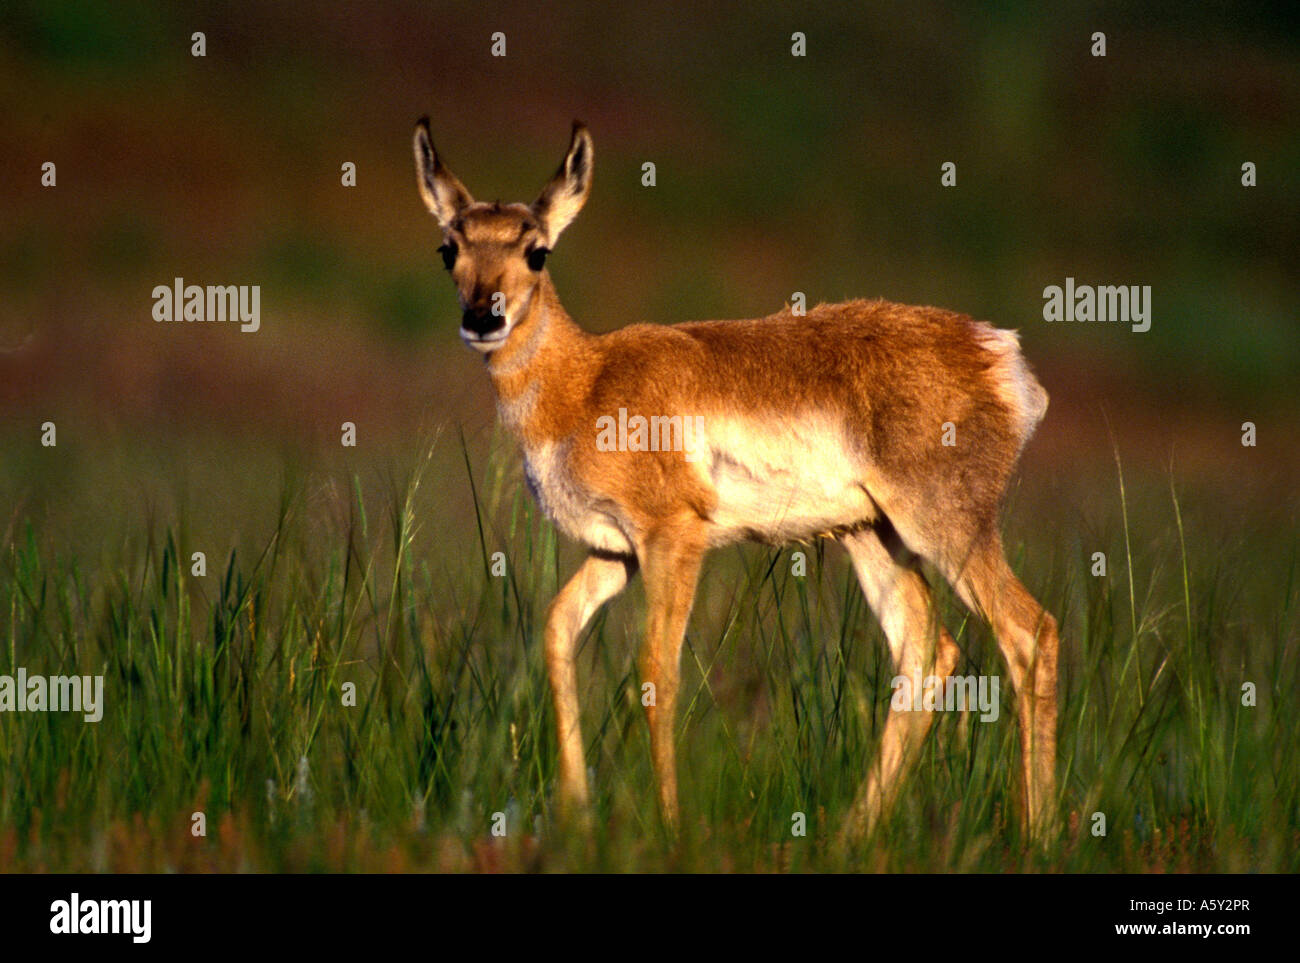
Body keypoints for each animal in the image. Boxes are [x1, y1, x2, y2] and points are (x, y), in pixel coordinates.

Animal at [412, 117, 1060, 841]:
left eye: (537, 251)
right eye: (448, 248)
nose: (483, 318)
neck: (586, 378)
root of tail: (997, 351)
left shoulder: (673, 540)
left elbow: (656, 671)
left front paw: (668, 826)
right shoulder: (615, 552)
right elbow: (558, 629)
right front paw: (578, 814)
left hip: (946, 529)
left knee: (1030, 633)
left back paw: (1039, 834)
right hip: (874, 536)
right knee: (926, 650)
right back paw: (851, 833)